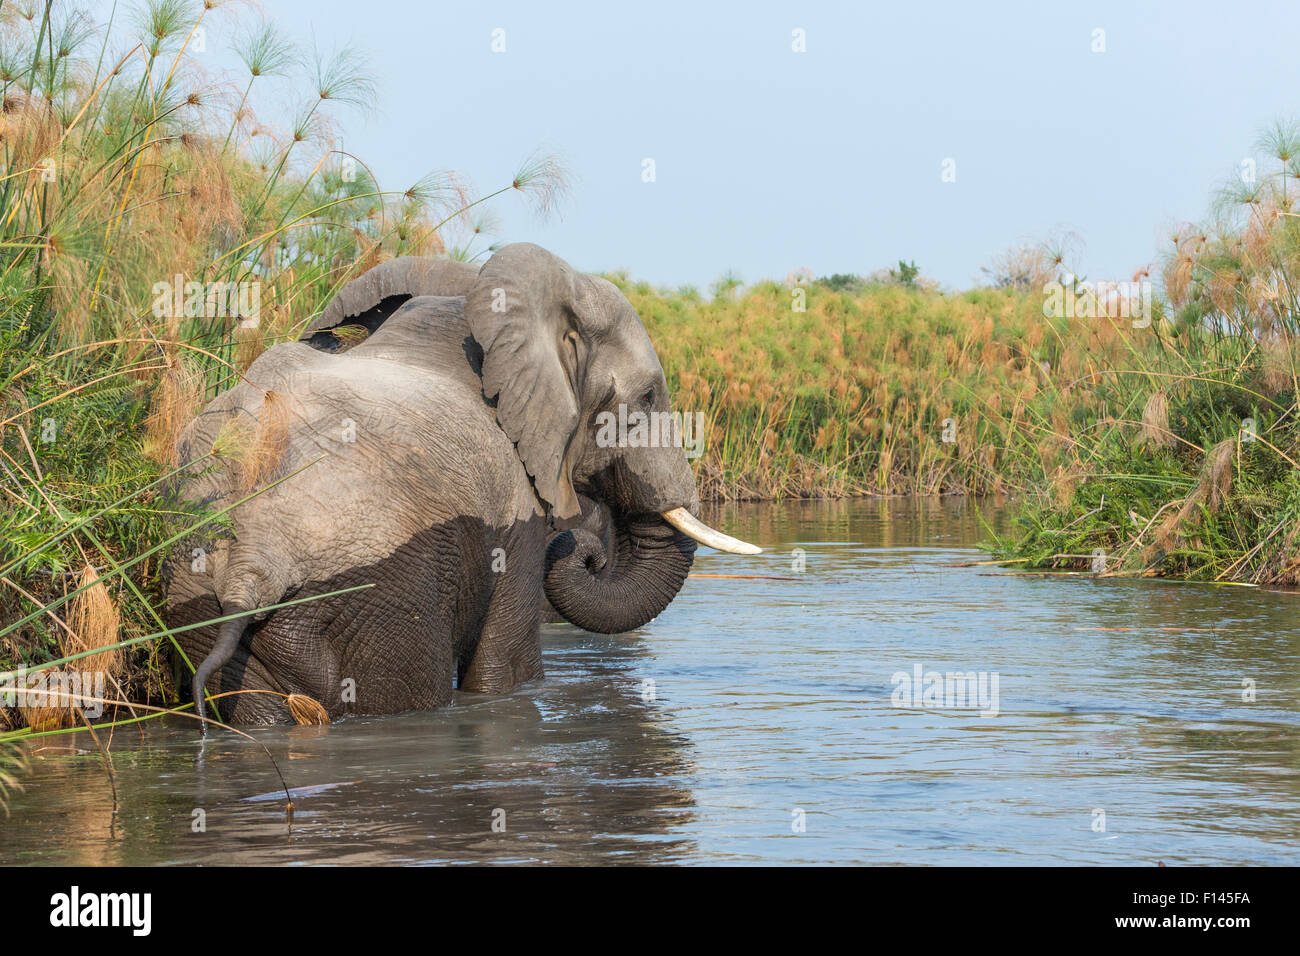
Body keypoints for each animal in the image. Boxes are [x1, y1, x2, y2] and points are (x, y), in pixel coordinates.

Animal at [162, 243, 761, 725]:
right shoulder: (513, 514)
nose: (585, 550)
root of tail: (252, 564)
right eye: (648, 398)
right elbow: (504, 673)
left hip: (198, 599)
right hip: (383, 597)